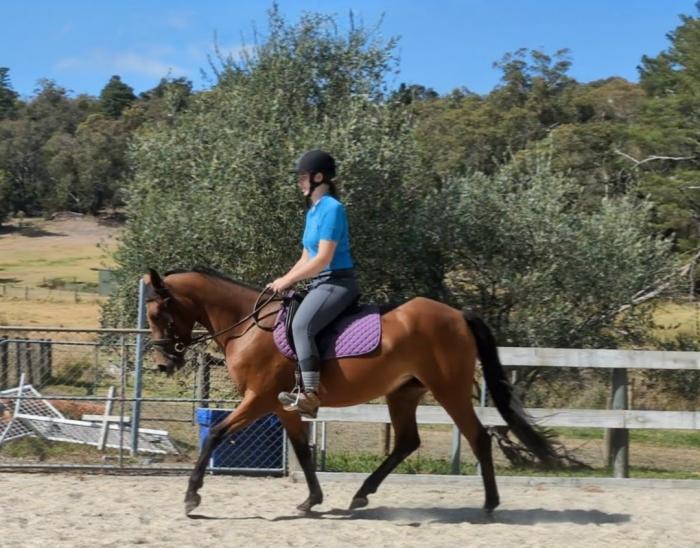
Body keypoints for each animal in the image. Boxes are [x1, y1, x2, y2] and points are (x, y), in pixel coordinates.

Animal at [143, 267, 558, 516]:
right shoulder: (283, 407)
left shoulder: (258, 399)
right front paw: (311, 500)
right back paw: (362, 494)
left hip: (449, 390)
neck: (248, 326)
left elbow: (215, 433)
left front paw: (191, 496)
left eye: (158, 314)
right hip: (403, 394)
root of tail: (458, 314)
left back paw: (489, 503)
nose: (163, 364)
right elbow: (302, 452)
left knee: (478, 437)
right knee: (407, 442)